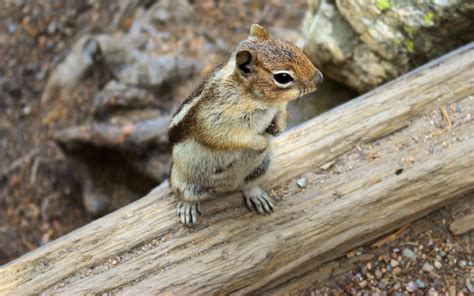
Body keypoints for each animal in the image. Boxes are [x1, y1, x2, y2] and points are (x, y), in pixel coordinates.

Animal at [168, 24, 322, 225]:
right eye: (283, 77)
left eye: (294, 47)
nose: (320, 78)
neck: (259, 100)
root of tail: (227, 187)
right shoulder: (213, 120)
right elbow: (230, 138)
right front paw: (261, 142)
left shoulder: (277, 106)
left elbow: (281, 111)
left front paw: (277, 128)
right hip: (183, 182)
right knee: (184, 195)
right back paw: (188, 207)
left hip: (261, 168)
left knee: (247, 186)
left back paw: (256, 195)